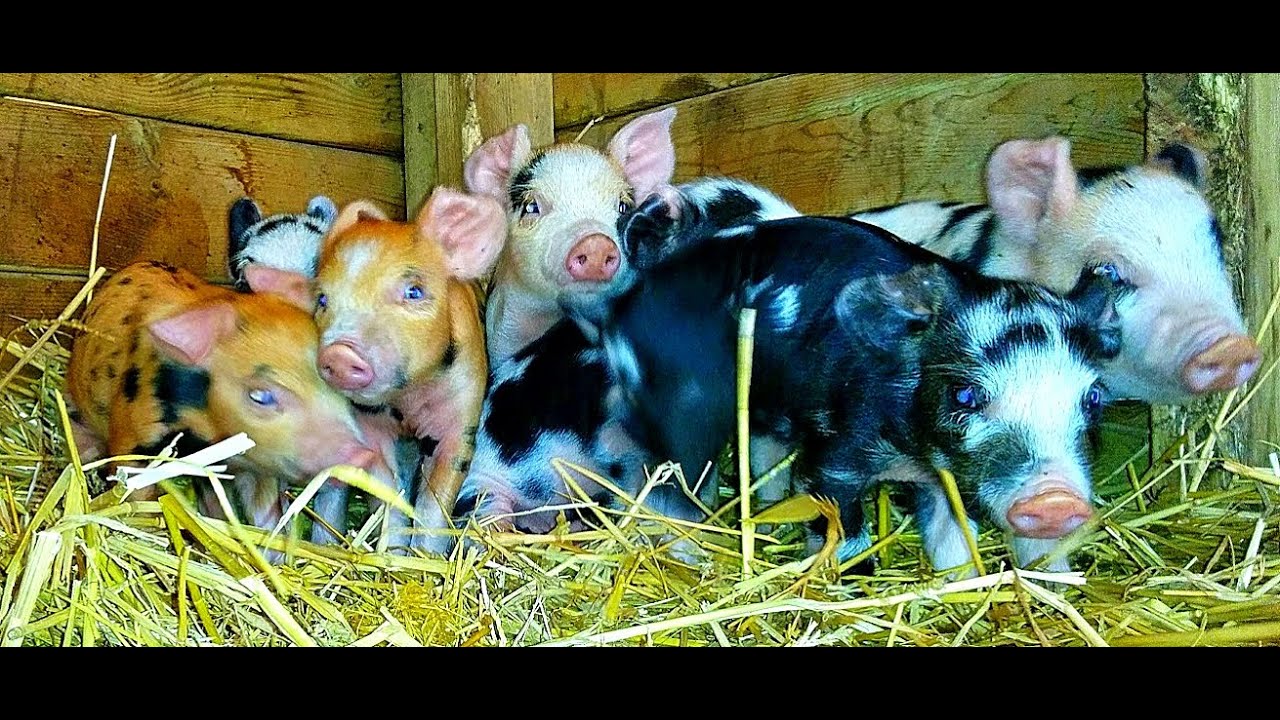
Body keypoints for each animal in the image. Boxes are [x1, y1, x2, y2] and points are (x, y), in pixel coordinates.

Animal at [65, 261, 379, 537]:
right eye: (260, 396)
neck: (204, 436)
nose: (363, 454)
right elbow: (136, 493)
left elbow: (264, 514)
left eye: (329, 382)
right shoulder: (131, 436)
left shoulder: (258, 462)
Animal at [311, 188, 506, 554]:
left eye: (414, 291)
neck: (406, 401)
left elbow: (433, 503)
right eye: (322, 300)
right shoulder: (371, 430)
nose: (340, 352)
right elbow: (390, 496)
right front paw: (392, 555)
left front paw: (425, 557)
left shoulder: (461, 419)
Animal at [597, 212, 1123, 575]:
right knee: (673, 482)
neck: (911, 455)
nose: (1056, 500)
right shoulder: (834, 459)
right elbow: (844, 530)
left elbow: (954, 542)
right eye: (965, 396)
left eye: (1094, 398)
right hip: (685, 410)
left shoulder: (946, 479)